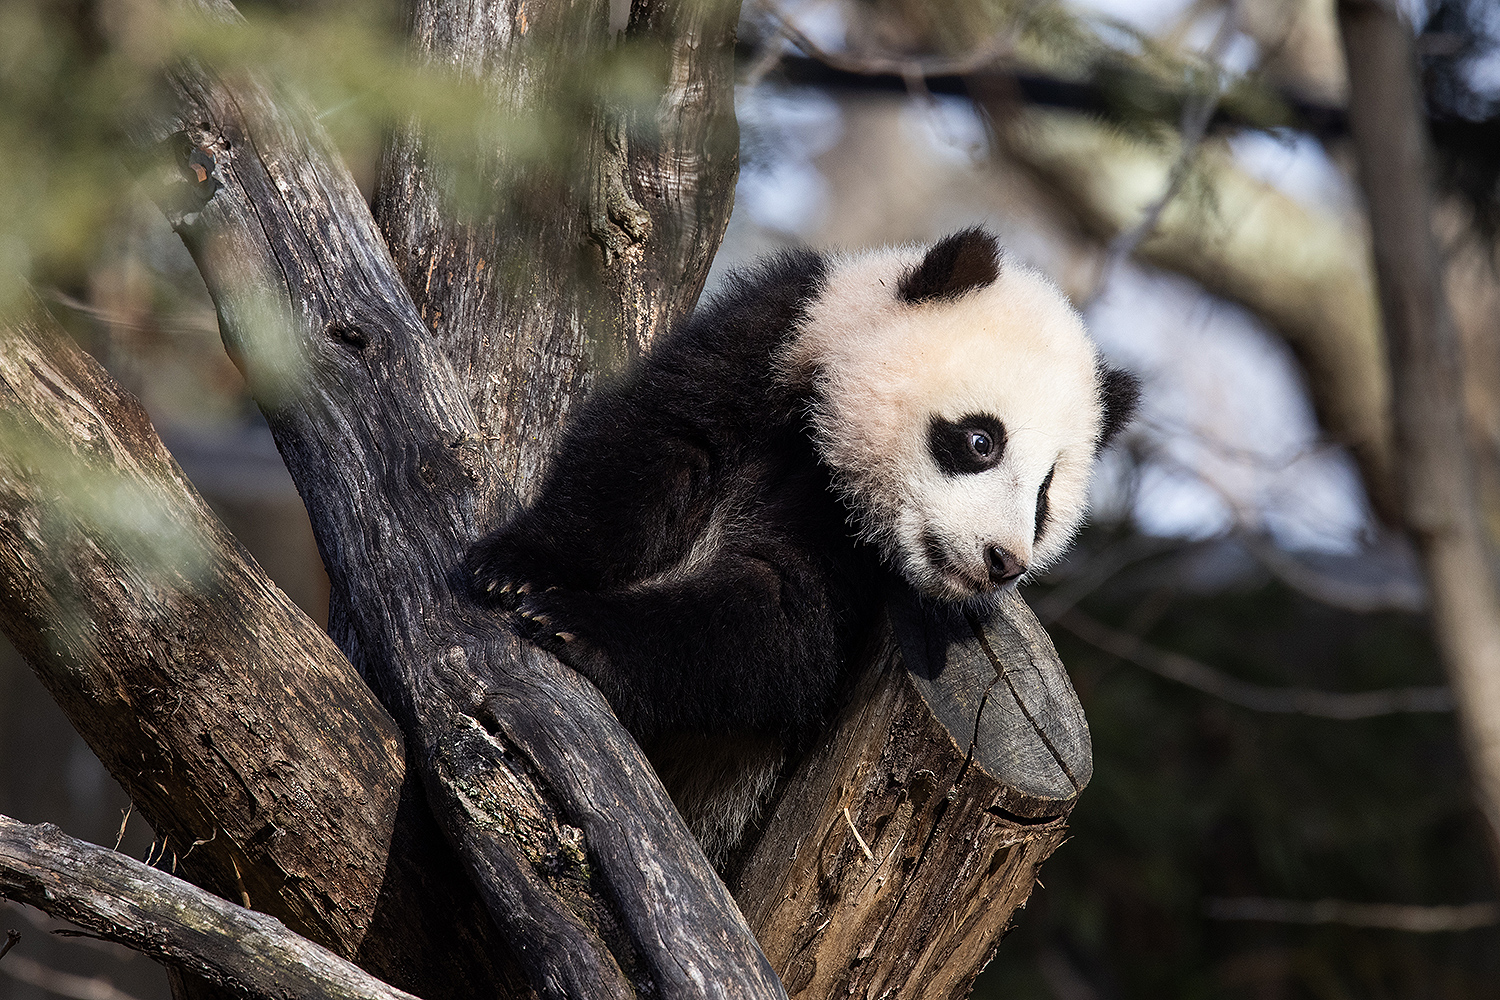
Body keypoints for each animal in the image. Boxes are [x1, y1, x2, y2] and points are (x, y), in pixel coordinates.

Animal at [469, 227, 1138, 869]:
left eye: (1045, 496)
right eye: (982, 441)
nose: (1003, 561)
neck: (826, 451)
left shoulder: (852, 559)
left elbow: (781, 623)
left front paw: (575, 624)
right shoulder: (775, 338)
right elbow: (652, 449)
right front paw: (517, 571)